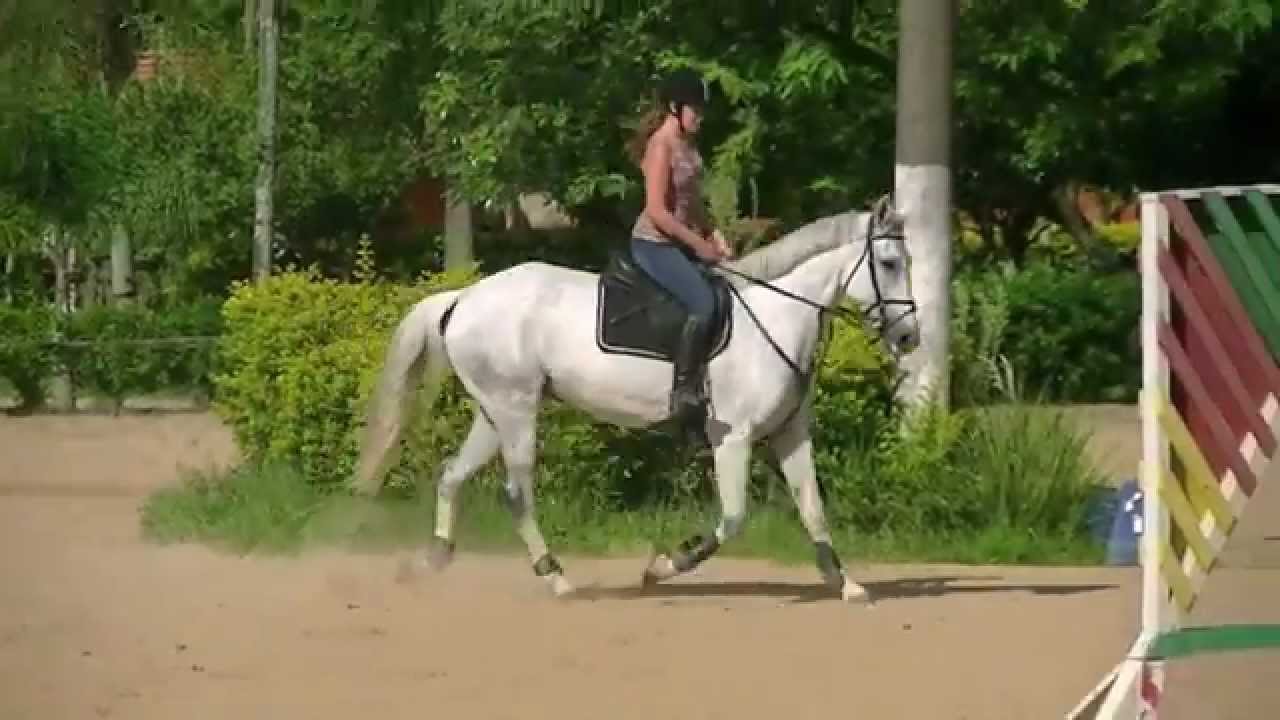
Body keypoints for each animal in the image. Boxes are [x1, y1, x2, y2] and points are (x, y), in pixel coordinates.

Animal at [352, 194, 920, 603]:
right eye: (890, 262)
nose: (910, 337)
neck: (776, 317)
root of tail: (463, 297)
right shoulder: (732, 439)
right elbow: (734, 519)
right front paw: (663, 567)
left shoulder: (789, 434)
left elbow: (813, 509)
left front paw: (847, 584)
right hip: (515, 412)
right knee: (516, 493)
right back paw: (557, 579)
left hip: (494, 413)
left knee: (452, 475)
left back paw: (433, 560)